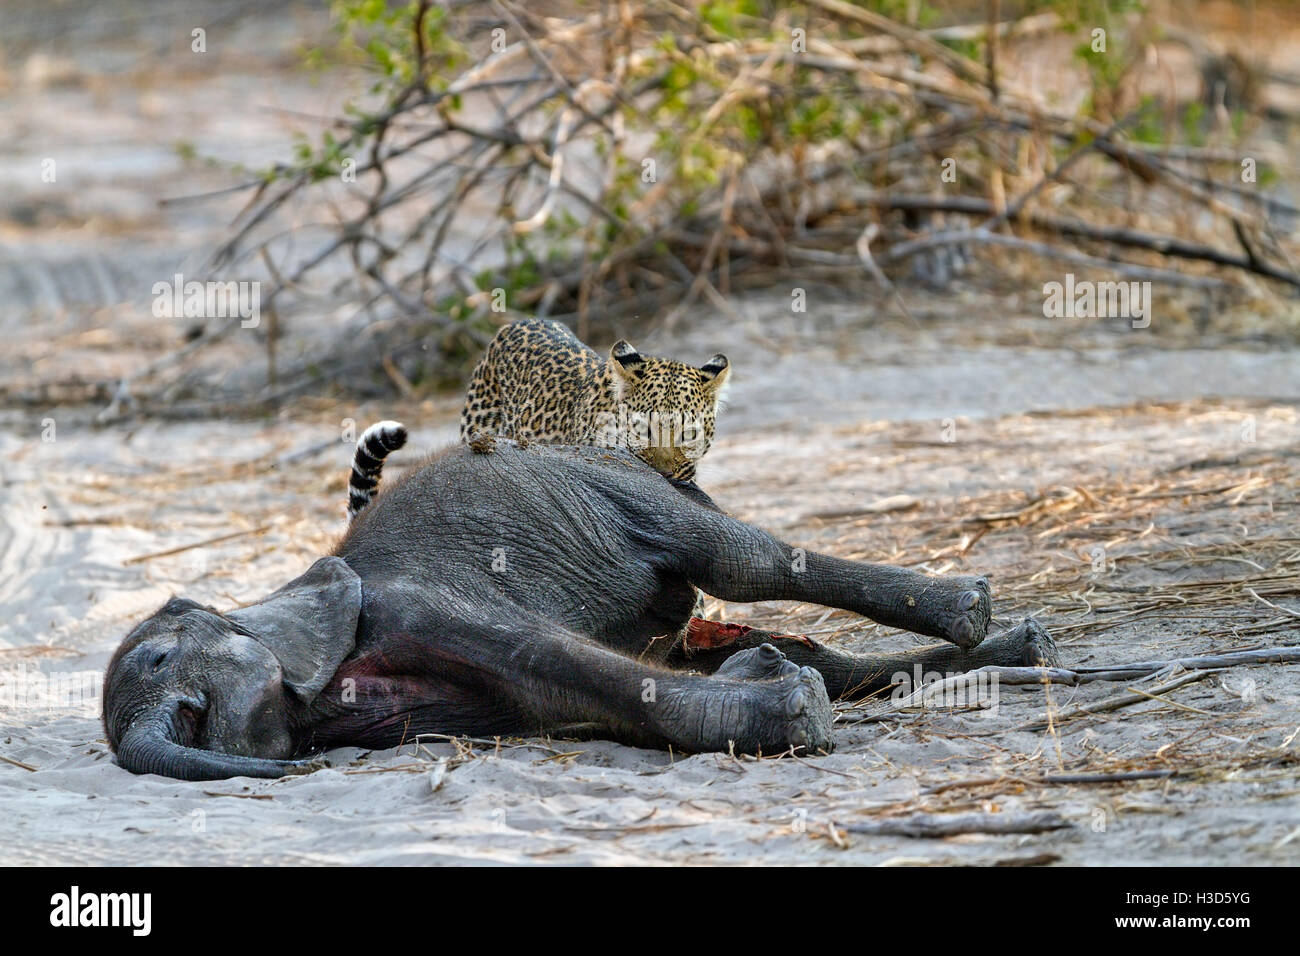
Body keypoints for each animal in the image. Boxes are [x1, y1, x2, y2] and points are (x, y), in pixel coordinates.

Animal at [102, 440, 1059, 781]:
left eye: (160, 660)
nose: (188, 721)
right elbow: (559, 700)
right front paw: (781, 693)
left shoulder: (419, 604)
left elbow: (556, 663)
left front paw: (795, 719)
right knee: (796, 642)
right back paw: (1020, 649)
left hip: (624, 485)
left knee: (743, 560)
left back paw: (973, 612)